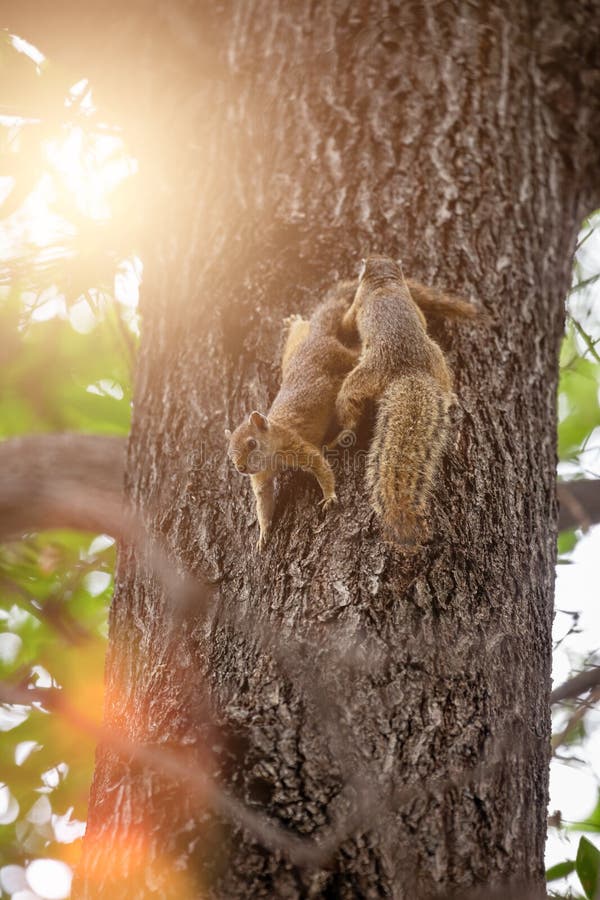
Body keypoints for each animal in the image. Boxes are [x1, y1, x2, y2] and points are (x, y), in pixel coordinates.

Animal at [226, 288, 359, 550]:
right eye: (229, 453)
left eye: (251, 443)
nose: (241, 468)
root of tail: (316, 337)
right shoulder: (261, 477)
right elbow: (264, 501)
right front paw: (263, 533)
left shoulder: (295, 445)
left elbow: (319, 464)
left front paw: (329, 496)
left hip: (340, 358)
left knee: (355, 356)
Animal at [333, 255, 456, 545]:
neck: (384, 281)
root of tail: (408, 371)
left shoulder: (359, 301)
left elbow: (347, 321)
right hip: (438, 362)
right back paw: (452, 397)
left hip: (363, 376)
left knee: (349, 403)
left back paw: (344, 432)